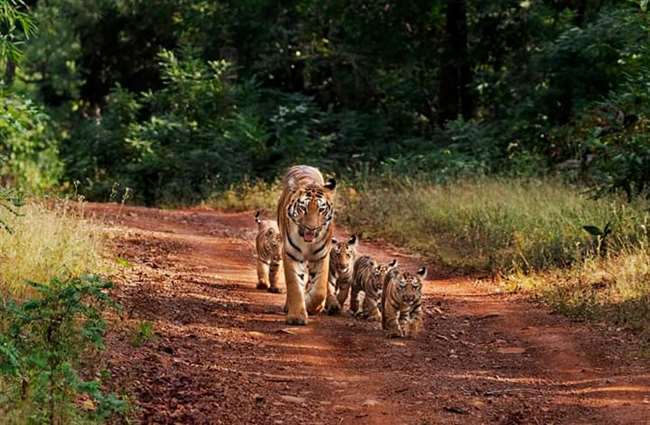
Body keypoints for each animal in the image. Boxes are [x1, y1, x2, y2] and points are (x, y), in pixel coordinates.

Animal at [277, 165, 336, 325]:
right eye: (303, 208)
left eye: (321, 209)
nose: (311, 228)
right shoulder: (291, 255)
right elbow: (295, 286)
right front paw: (296, 316)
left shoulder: (321, 256)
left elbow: (319, 290)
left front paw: (311, 305)